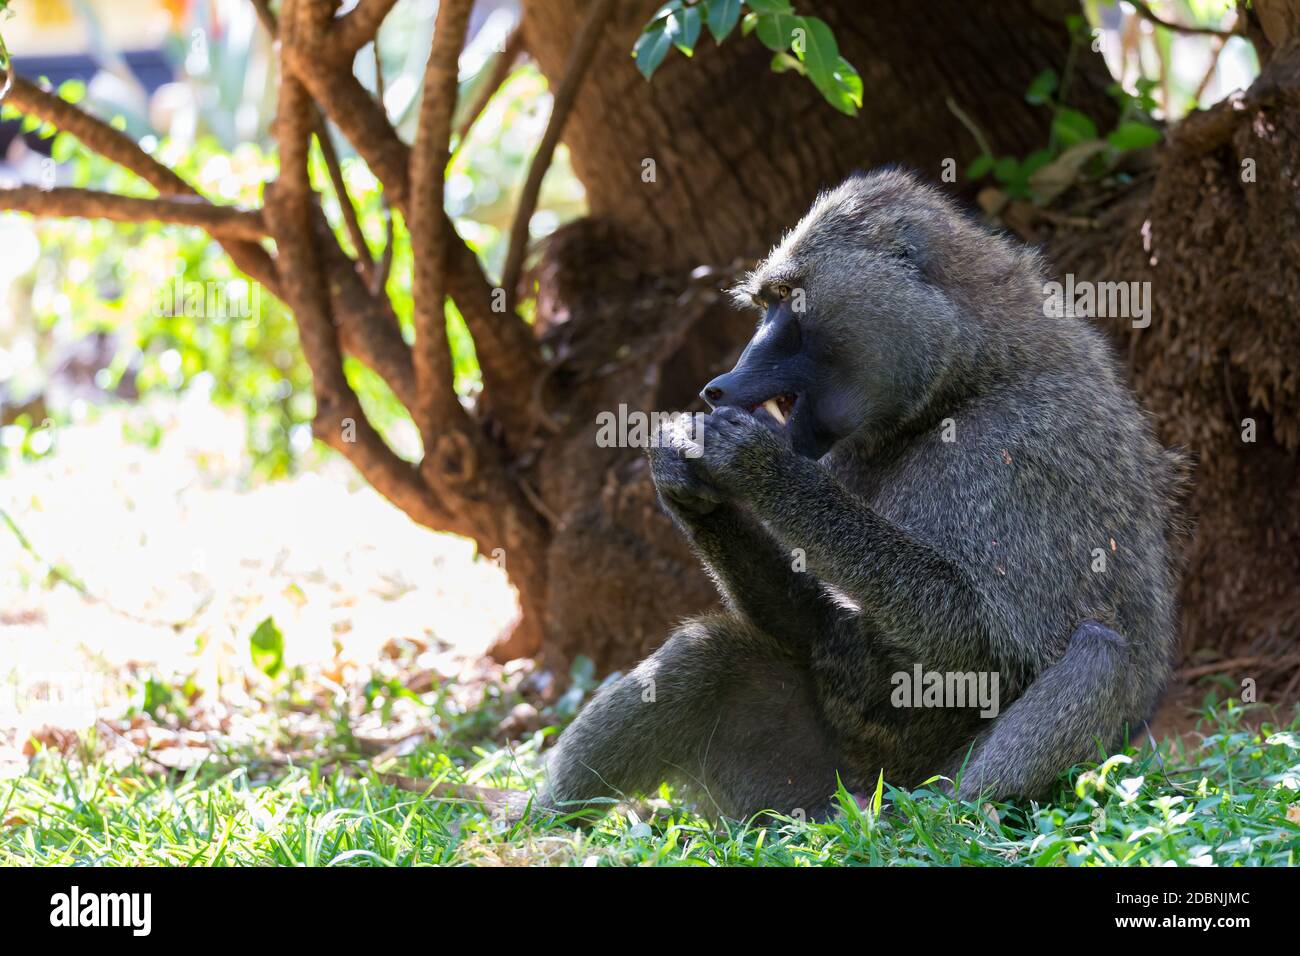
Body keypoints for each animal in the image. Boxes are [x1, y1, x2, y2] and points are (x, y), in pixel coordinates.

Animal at [538, 167, 1185, 821]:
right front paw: (681, 476)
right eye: (766, 304)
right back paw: (539, 824)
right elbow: (820, 630)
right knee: (701, 657)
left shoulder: (1027, 446)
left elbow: (986, 644)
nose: (718, 387)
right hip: (795, 785)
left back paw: (934, 820)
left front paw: (758, 466)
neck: (964, 382)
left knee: (1101, 656)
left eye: (790, 300)